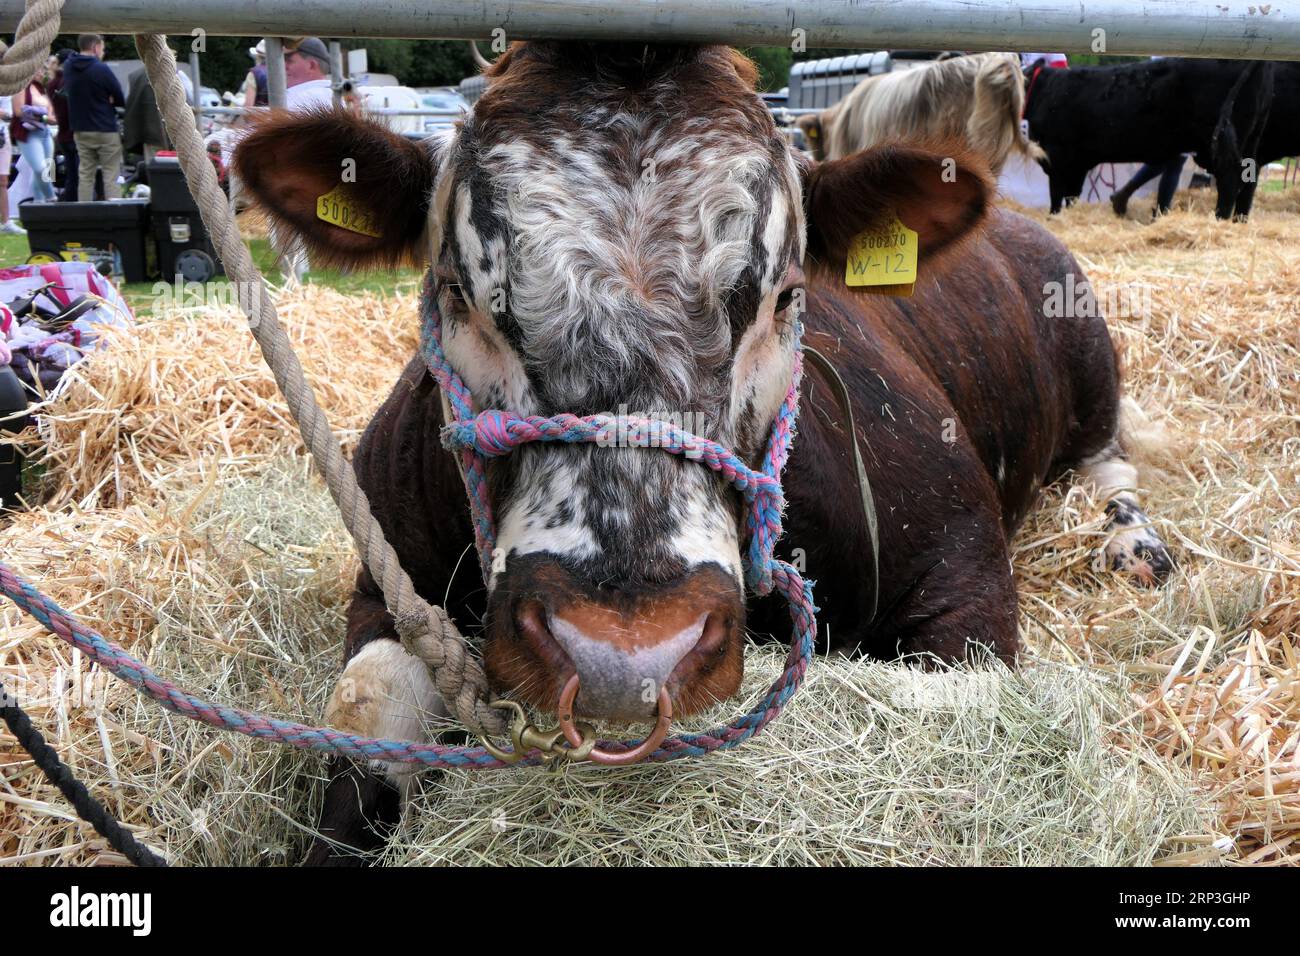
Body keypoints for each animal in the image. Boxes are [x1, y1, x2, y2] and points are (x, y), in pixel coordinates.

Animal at [1022, 57, 1275, 220]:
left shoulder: (1057, 156)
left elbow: (1056, 195)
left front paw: (1054, 217)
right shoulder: (1078, 164)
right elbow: (1071, 195)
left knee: (1230, 179)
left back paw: (1219, 219)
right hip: (1251, 139)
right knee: (1249, 179)